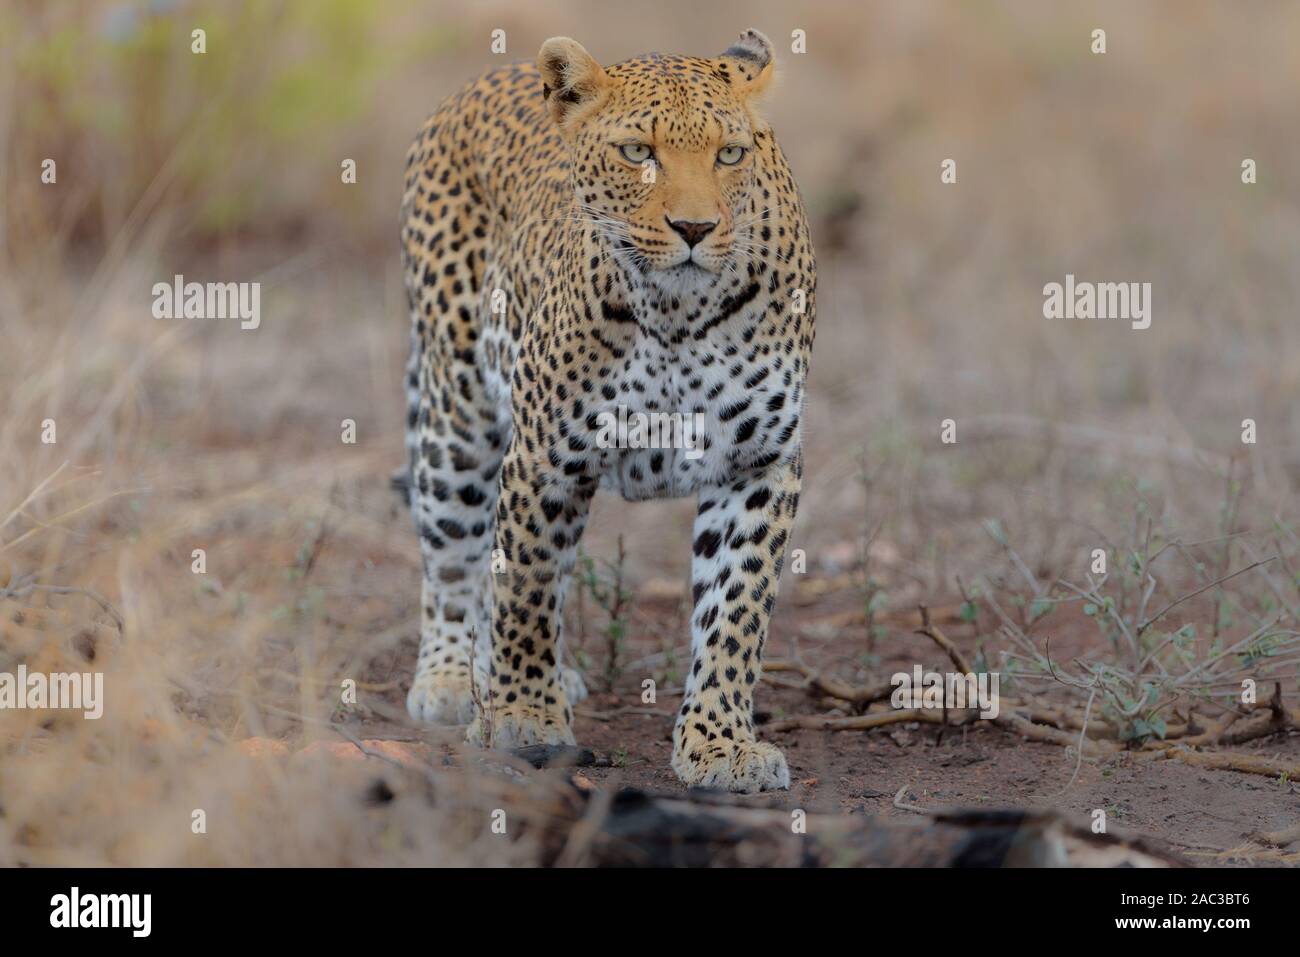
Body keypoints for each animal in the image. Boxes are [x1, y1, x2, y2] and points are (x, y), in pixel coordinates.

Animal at [398, 28, 815, 793]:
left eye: (730, 154)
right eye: (637, 152)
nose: (694, 227)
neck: (679, 313)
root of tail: (478, 83)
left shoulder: (758, 464)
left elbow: (736, 612)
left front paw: (721, 744)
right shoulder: (543, 454)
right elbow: (525, 591)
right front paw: (524, 719)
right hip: (457, 419)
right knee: (456, 558)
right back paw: (451, 681)